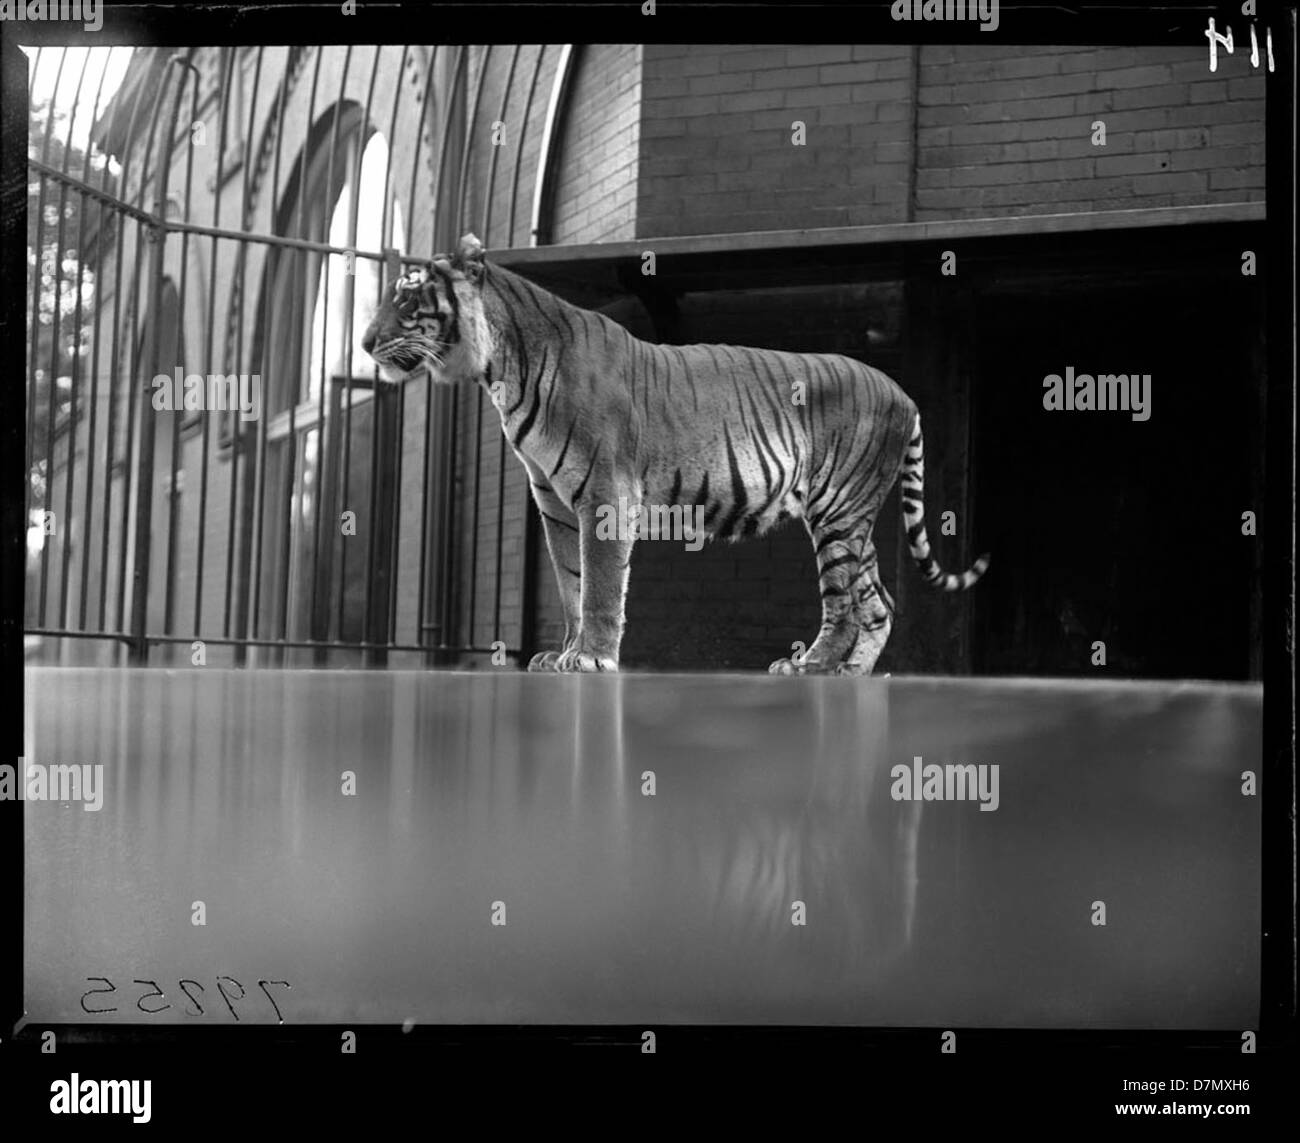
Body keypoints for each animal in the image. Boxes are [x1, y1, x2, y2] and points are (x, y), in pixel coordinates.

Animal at [362, 233, 989, 674]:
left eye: (407, 295)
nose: (365, 343)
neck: (500, 367)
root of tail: (901, 390)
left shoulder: (604, 491)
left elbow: (601, 582)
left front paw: (591, 656)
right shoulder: (554, 503)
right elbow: (570, 584)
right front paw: (560, 653)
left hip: (840, 510)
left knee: (846, 605)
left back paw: (811, 665)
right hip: (851, 515)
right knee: (877, 601)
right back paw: (847, 673)